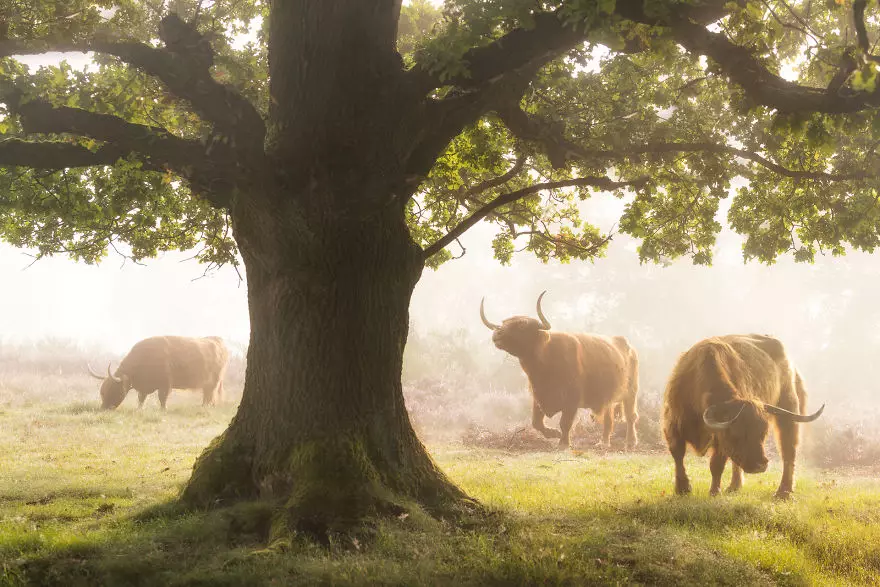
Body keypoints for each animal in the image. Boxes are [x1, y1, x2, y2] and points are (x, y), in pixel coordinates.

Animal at [87, 334, 227, 412]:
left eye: (113, 390)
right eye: (102, 392)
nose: (103, 408)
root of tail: (217, 340)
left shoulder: (165, 383)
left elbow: (162, 397)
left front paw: (163, 409)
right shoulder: (144, 387)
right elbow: (141, 398)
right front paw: (139, 409)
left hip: (214, 380)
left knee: (210, 394)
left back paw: (205, 407)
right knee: (207, 394)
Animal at [482, 290, 640, 450]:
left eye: (522, 325)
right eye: (504, 322)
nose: (497, 333)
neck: (545, 363)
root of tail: (627, 345)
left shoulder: (572, 400)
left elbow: (565, 423)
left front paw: (563, 443)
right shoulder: (538, 398)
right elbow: (536, 422)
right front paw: (554, 433)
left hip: (631, 391)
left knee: (631, 416)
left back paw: (630, 442)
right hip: (609, 396)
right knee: (609, 418)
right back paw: (603, 443)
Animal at [664, 336, 828, 500]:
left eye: (763, 433)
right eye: (736, 433)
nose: (760, 465)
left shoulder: (720, 440)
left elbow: (716, 465)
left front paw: (714, 492)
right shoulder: (672, 425)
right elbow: (678, 456)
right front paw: (682, 489)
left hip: (788, 412)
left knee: (789, 452)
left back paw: (783, 492)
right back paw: (734, 487)